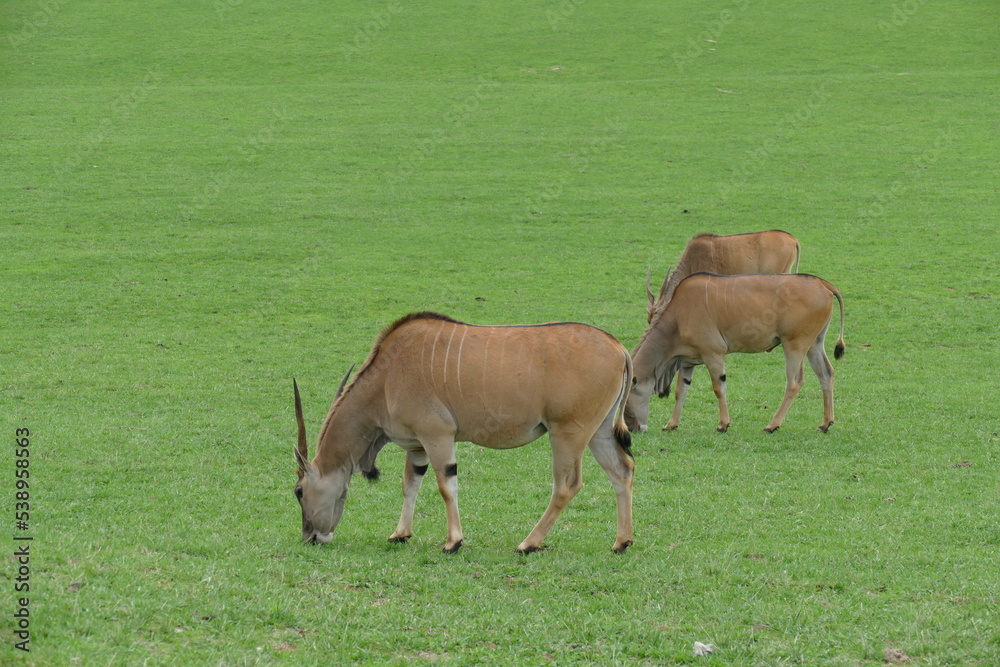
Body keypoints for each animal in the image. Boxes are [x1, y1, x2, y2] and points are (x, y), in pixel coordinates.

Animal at [293, 312, 636, 554]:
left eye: (298, 491)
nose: (310, 536)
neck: (387, 376)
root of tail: (618, 347)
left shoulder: (438, 436)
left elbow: (446, 485)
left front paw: (453, 542)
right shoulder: (417, 446)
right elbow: (409, 485)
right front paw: (400, 534)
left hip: (568, 433)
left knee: (567, 485)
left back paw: (528, 543)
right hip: (598, 432)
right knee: (622, 471)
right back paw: (622, 542)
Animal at [625, 273, 845, 434]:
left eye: (626, 401)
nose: (634, 429)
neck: (678, 317)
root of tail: (823, 284)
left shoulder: (713, 354)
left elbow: (718, 387)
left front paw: (723, 424)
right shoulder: (688, 362)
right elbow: (681, 391)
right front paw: (671, 424)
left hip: (794, 345)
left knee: (795, 382)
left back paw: (772, 425)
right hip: (814, 345)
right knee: (826, 374)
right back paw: (825, 423)